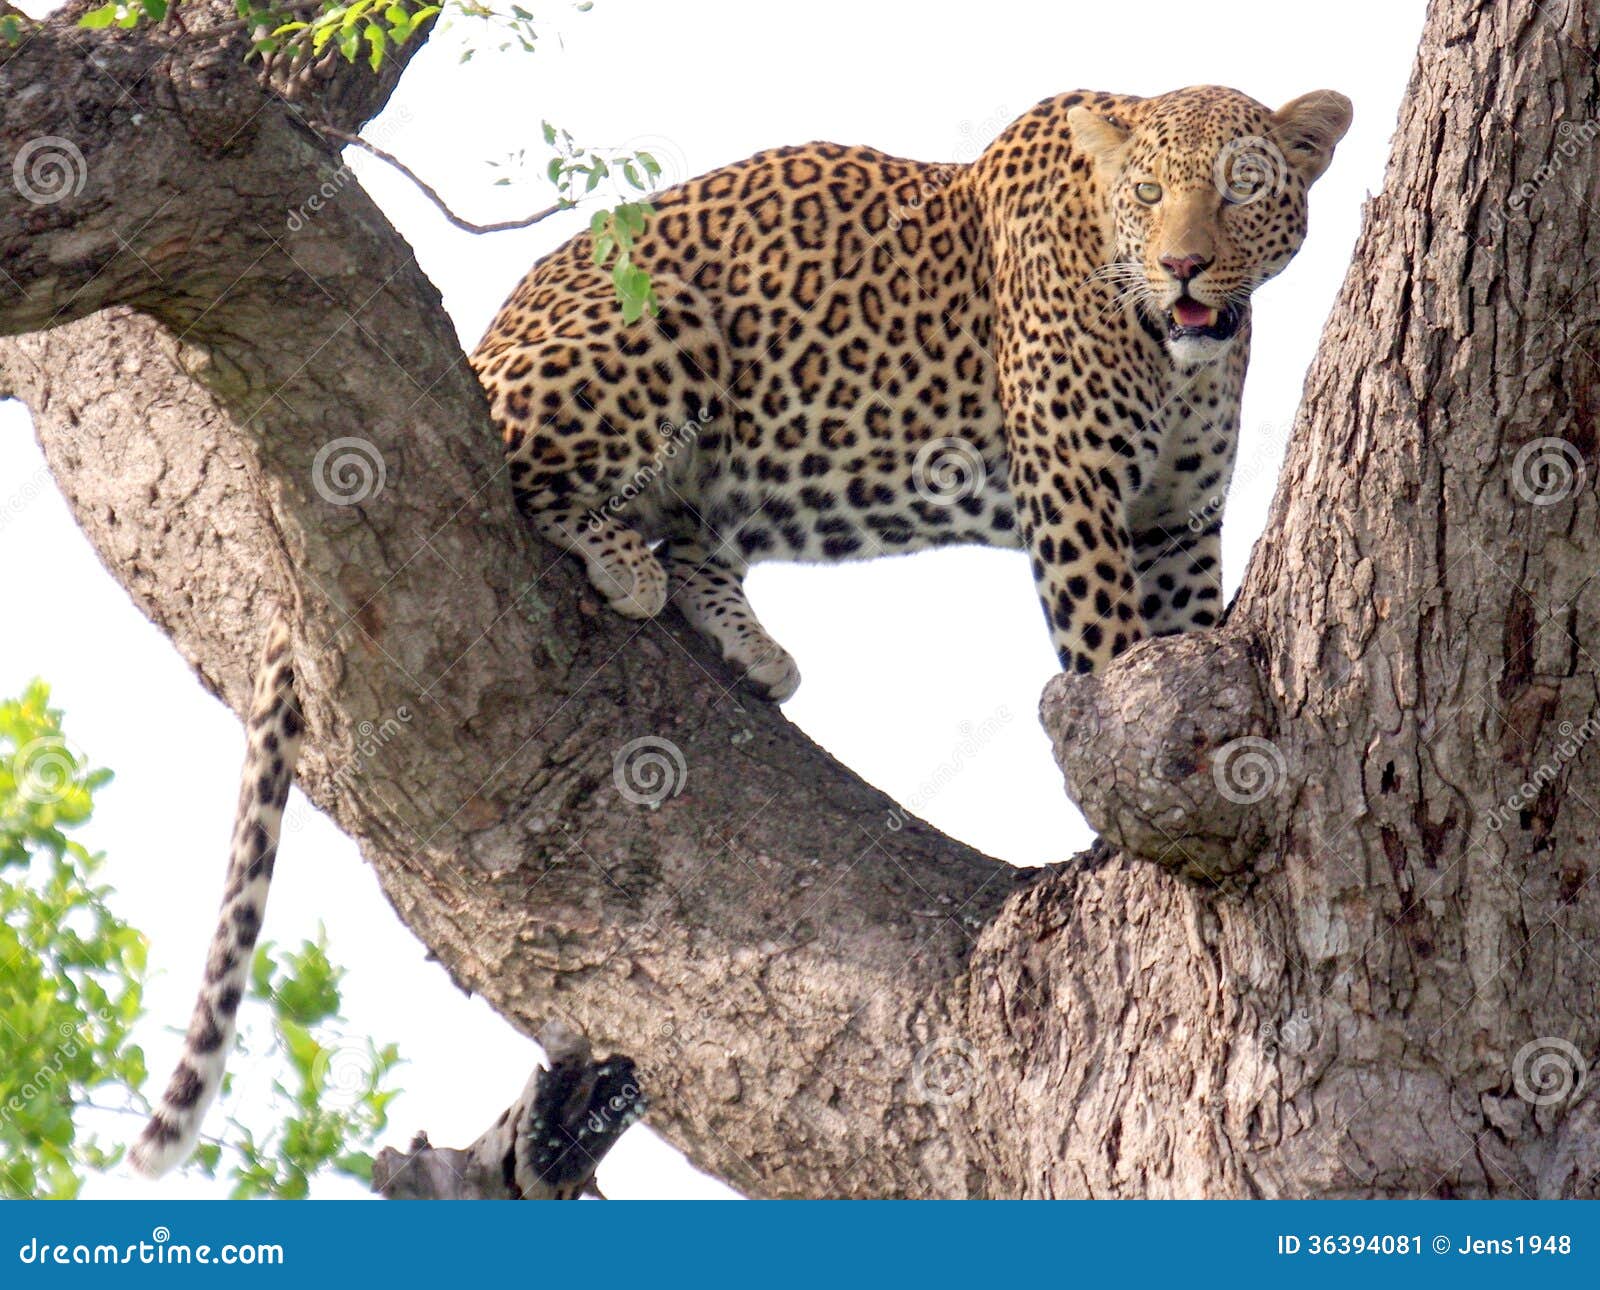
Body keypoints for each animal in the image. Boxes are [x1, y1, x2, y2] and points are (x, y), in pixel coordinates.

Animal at [131, 84, 1349, 1175]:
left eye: (1240, 190)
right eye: (1147, 195)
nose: (1184, 266)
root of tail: (485, 340)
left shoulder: (1176, 519)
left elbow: (1181, 644)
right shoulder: (1076, 493)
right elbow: (1109, 650)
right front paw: (1114, 829)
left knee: (693, 538)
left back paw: (742, 640)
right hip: (655, 316)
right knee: (518, 468)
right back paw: (618, 563)